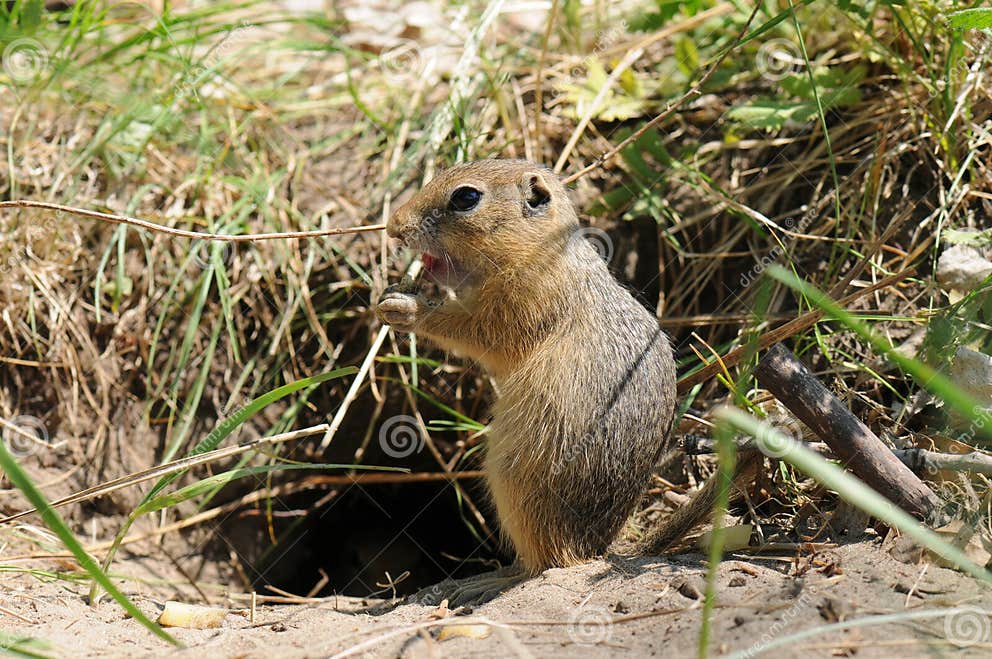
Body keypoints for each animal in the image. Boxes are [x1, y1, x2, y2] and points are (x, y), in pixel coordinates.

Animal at [377, 159, 730, 585]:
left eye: (466, 197)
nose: (394, 226)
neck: (542, 251)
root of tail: (598, 550)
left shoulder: (520, 306)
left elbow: (473, 331)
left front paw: (406, 307)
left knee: (546, 562)